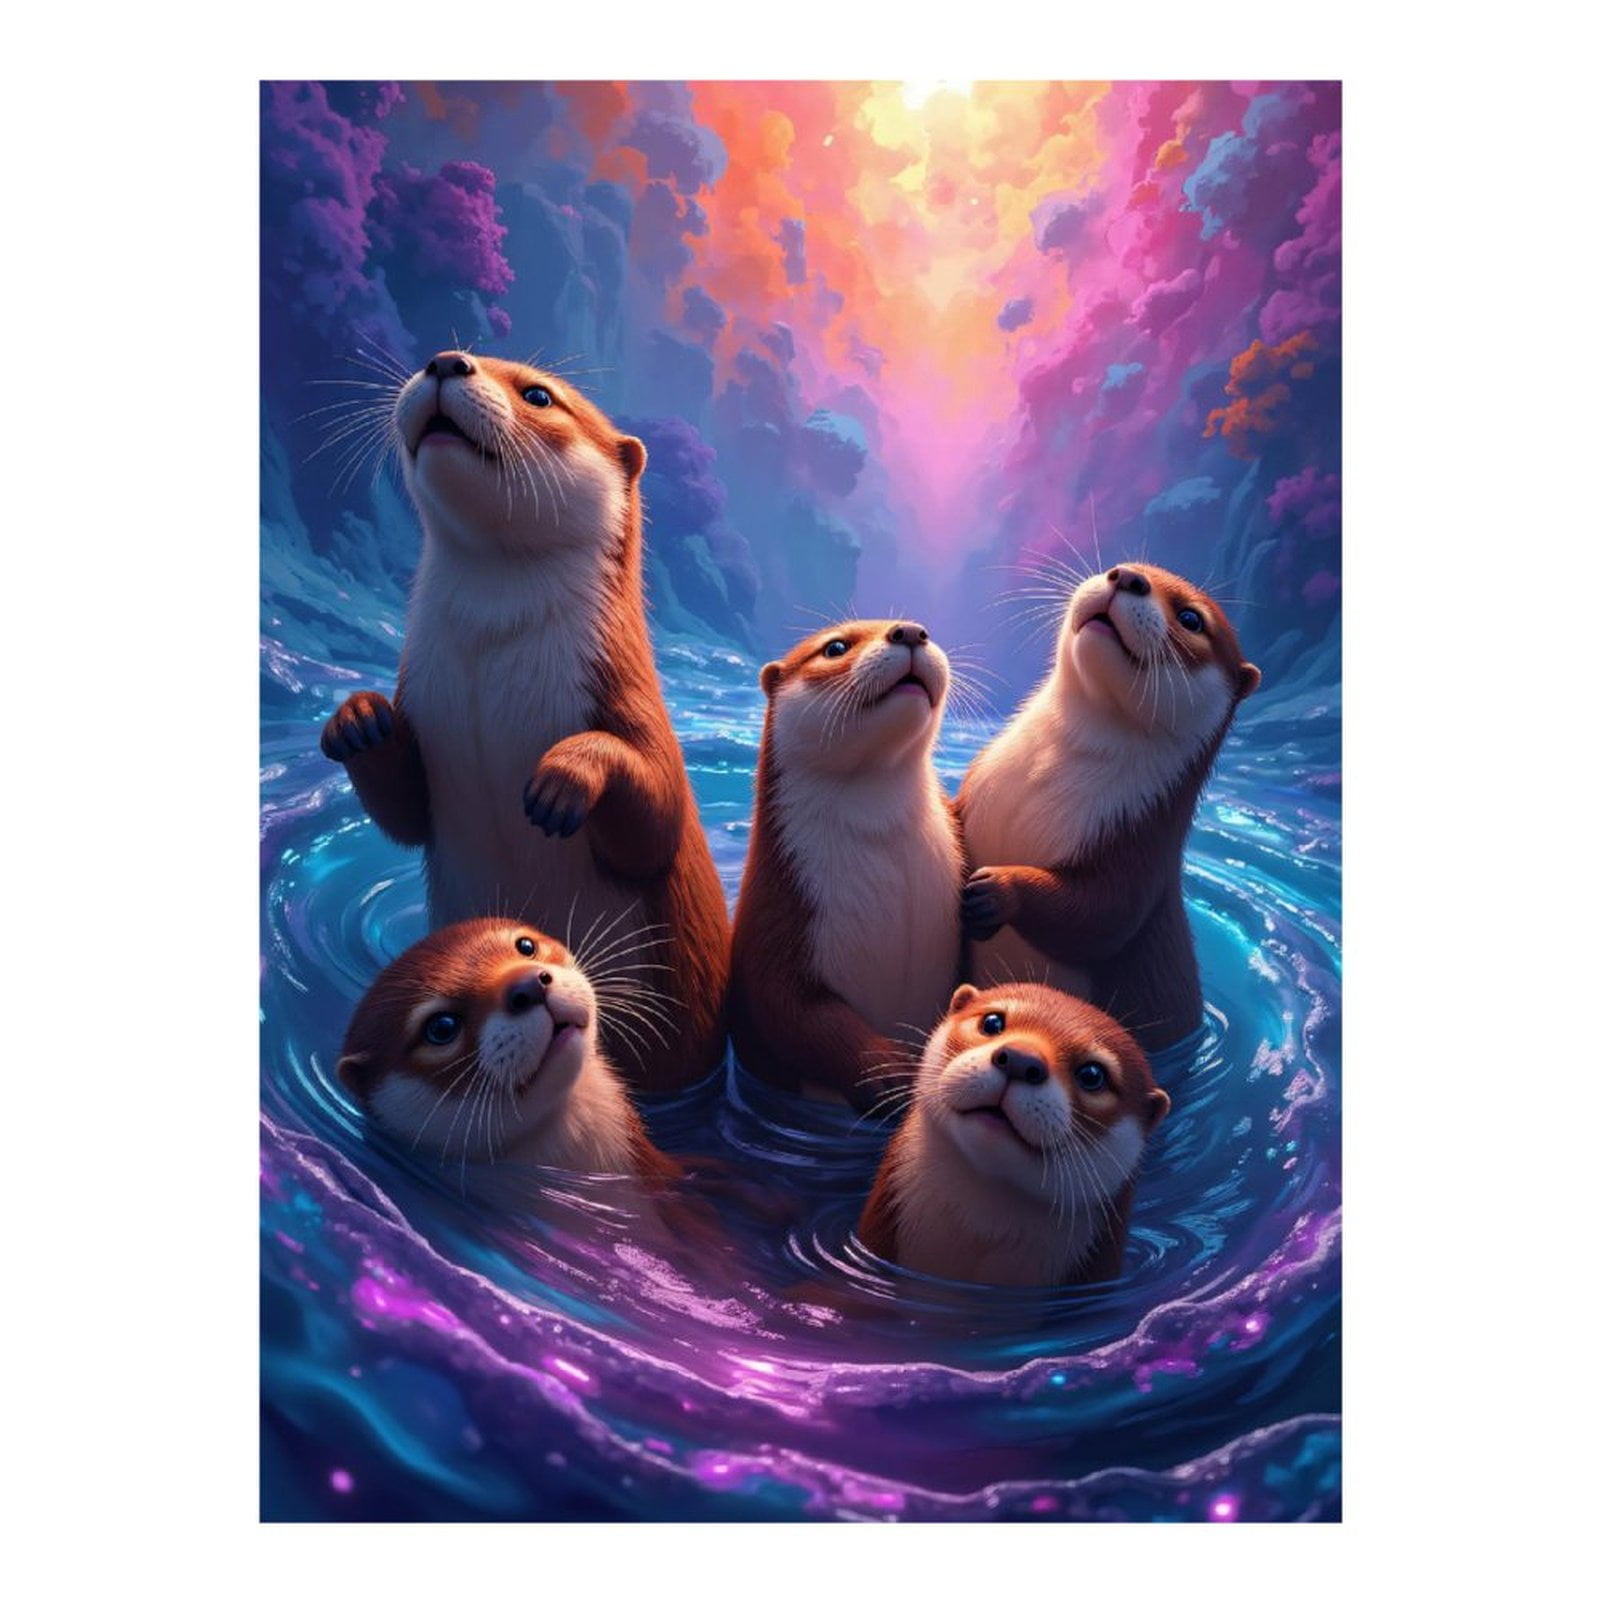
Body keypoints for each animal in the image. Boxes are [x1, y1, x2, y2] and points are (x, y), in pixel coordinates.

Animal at [320, 352, 729, 1093]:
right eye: (445, 352)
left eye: (539, 395)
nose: (446, 360)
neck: (491, 660)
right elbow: (405, 813)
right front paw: (357, 717)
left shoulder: (630, 698)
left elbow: (655, 816)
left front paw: (565, 779)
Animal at [729, 620, 965, 1112]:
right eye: (835, 647)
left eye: (923, 630)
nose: (910, 631)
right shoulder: (776, 913)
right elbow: (792, 1012)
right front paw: (890, 1073)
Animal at [958, 562, 1260, 1051]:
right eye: (1118, 565)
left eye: (1192, 619)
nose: (1130, 577)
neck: (1031, 790)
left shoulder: (1137, 849)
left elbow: (1098, 916)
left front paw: (998, 889)